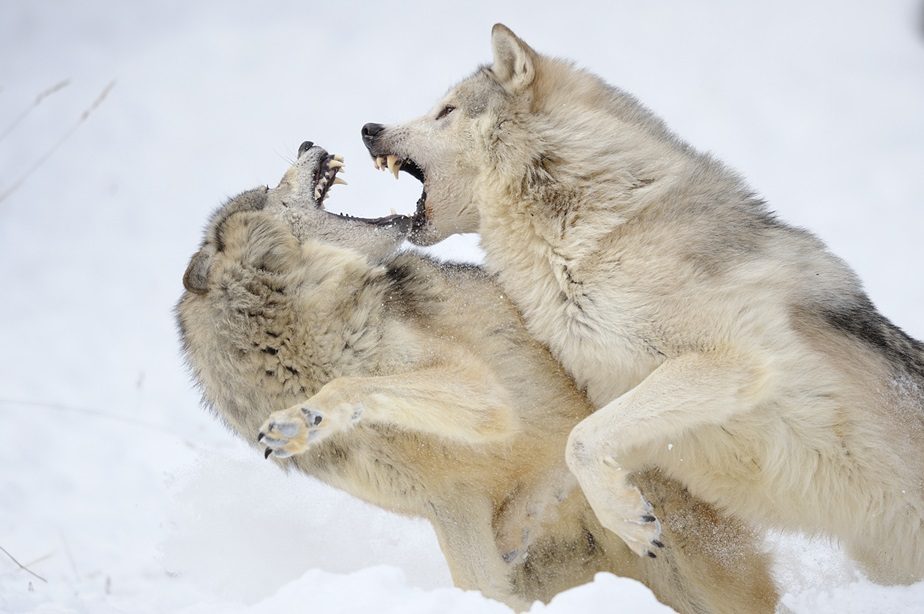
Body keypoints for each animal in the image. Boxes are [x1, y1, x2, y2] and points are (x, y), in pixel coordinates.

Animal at [176, 142, 778, 613]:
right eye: (268, 188)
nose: (306, 141)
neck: (304, 346)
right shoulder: (452, 509)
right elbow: (480, 585)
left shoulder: (482, 394)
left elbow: (364, 388)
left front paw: (306, 418)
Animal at [360, 24, 924, 584]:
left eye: (446, 111)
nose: (368, 127)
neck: (588, 233)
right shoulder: (624, 401)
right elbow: (567, 456)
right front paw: (525, 534)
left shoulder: (732, 362)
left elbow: (579, 442)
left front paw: (629, 524)